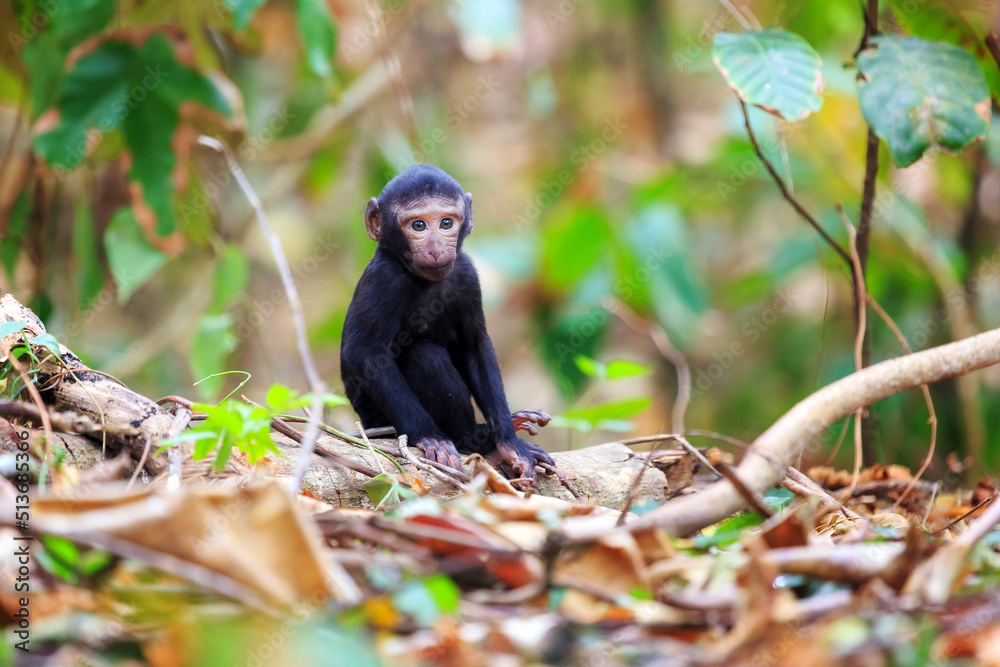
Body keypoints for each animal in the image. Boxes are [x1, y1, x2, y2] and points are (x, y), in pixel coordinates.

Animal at [340, 165, 556, 488]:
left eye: (445, 223)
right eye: (418, 225)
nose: (436, 247)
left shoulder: (467, 274)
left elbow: (474, 345)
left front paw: (509, 443)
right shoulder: (385, 280)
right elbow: (365, 355)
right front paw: (431, 436)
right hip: (375, 419)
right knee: (425, 357)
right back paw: (475, 440)